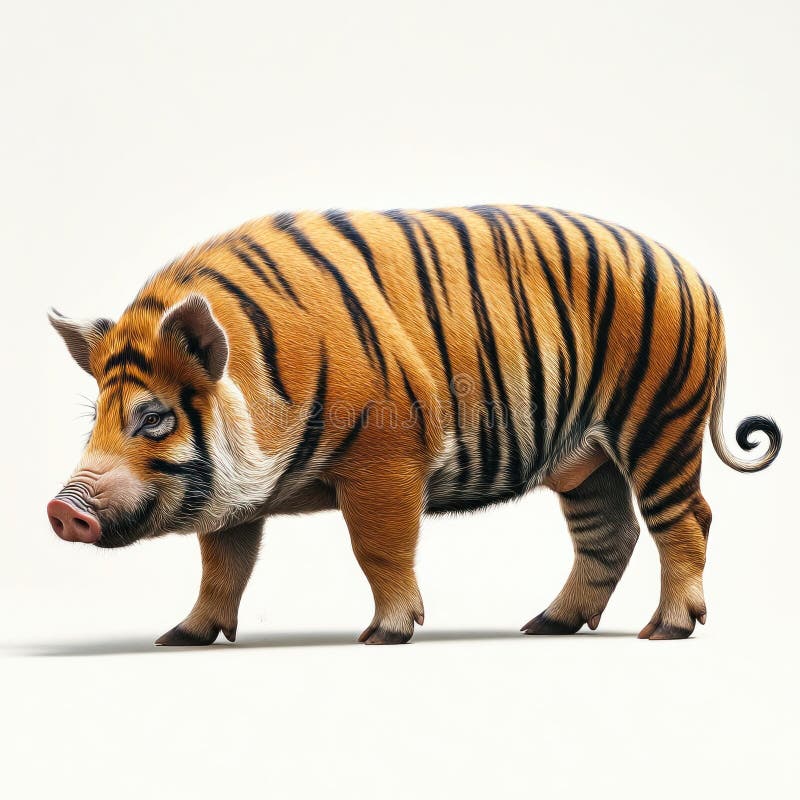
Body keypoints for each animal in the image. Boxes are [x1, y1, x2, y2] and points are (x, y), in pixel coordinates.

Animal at [47, 205, 782, 644]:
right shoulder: (233, 499)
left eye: (154, 417)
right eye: (96, 419)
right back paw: (543, 626)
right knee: (611, 531)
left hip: (663, 418)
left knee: (686, 517)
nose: (61, 508)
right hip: (586, 457)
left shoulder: (387, 453)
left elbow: (378, 546)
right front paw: (180, 637)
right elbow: (222, 565)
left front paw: (383, 634)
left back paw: (665, 631)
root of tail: (698, 278)